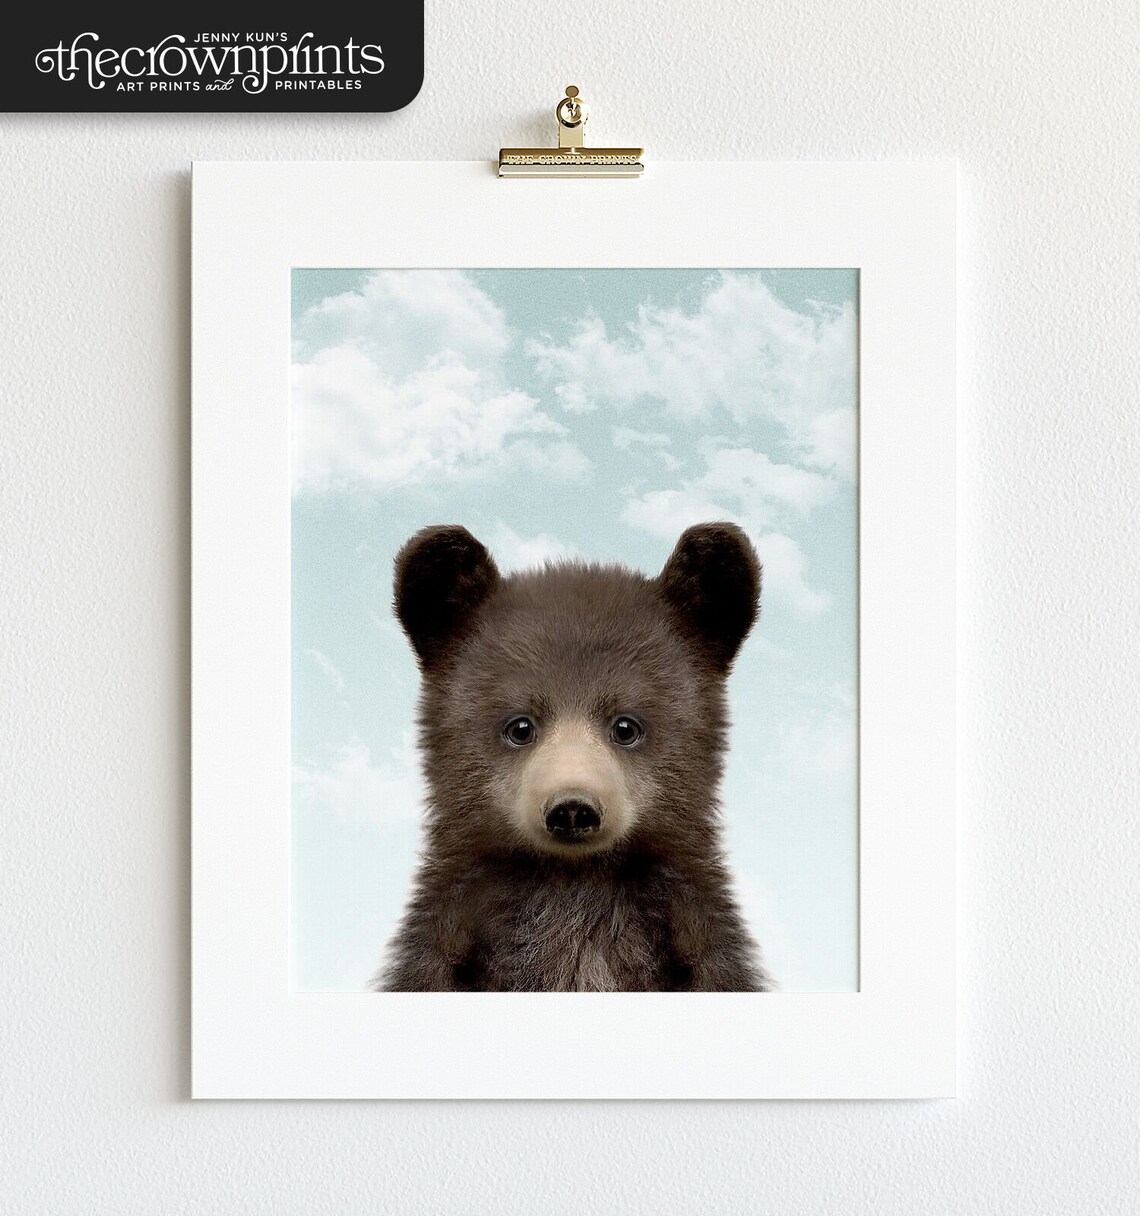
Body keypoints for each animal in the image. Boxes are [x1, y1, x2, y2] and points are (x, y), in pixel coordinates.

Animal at [372, 521, 773, 992]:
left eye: (626, 726)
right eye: (520, 727)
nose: (572, 810)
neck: (573, 879)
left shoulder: (697, 934)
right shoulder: (448, 931)